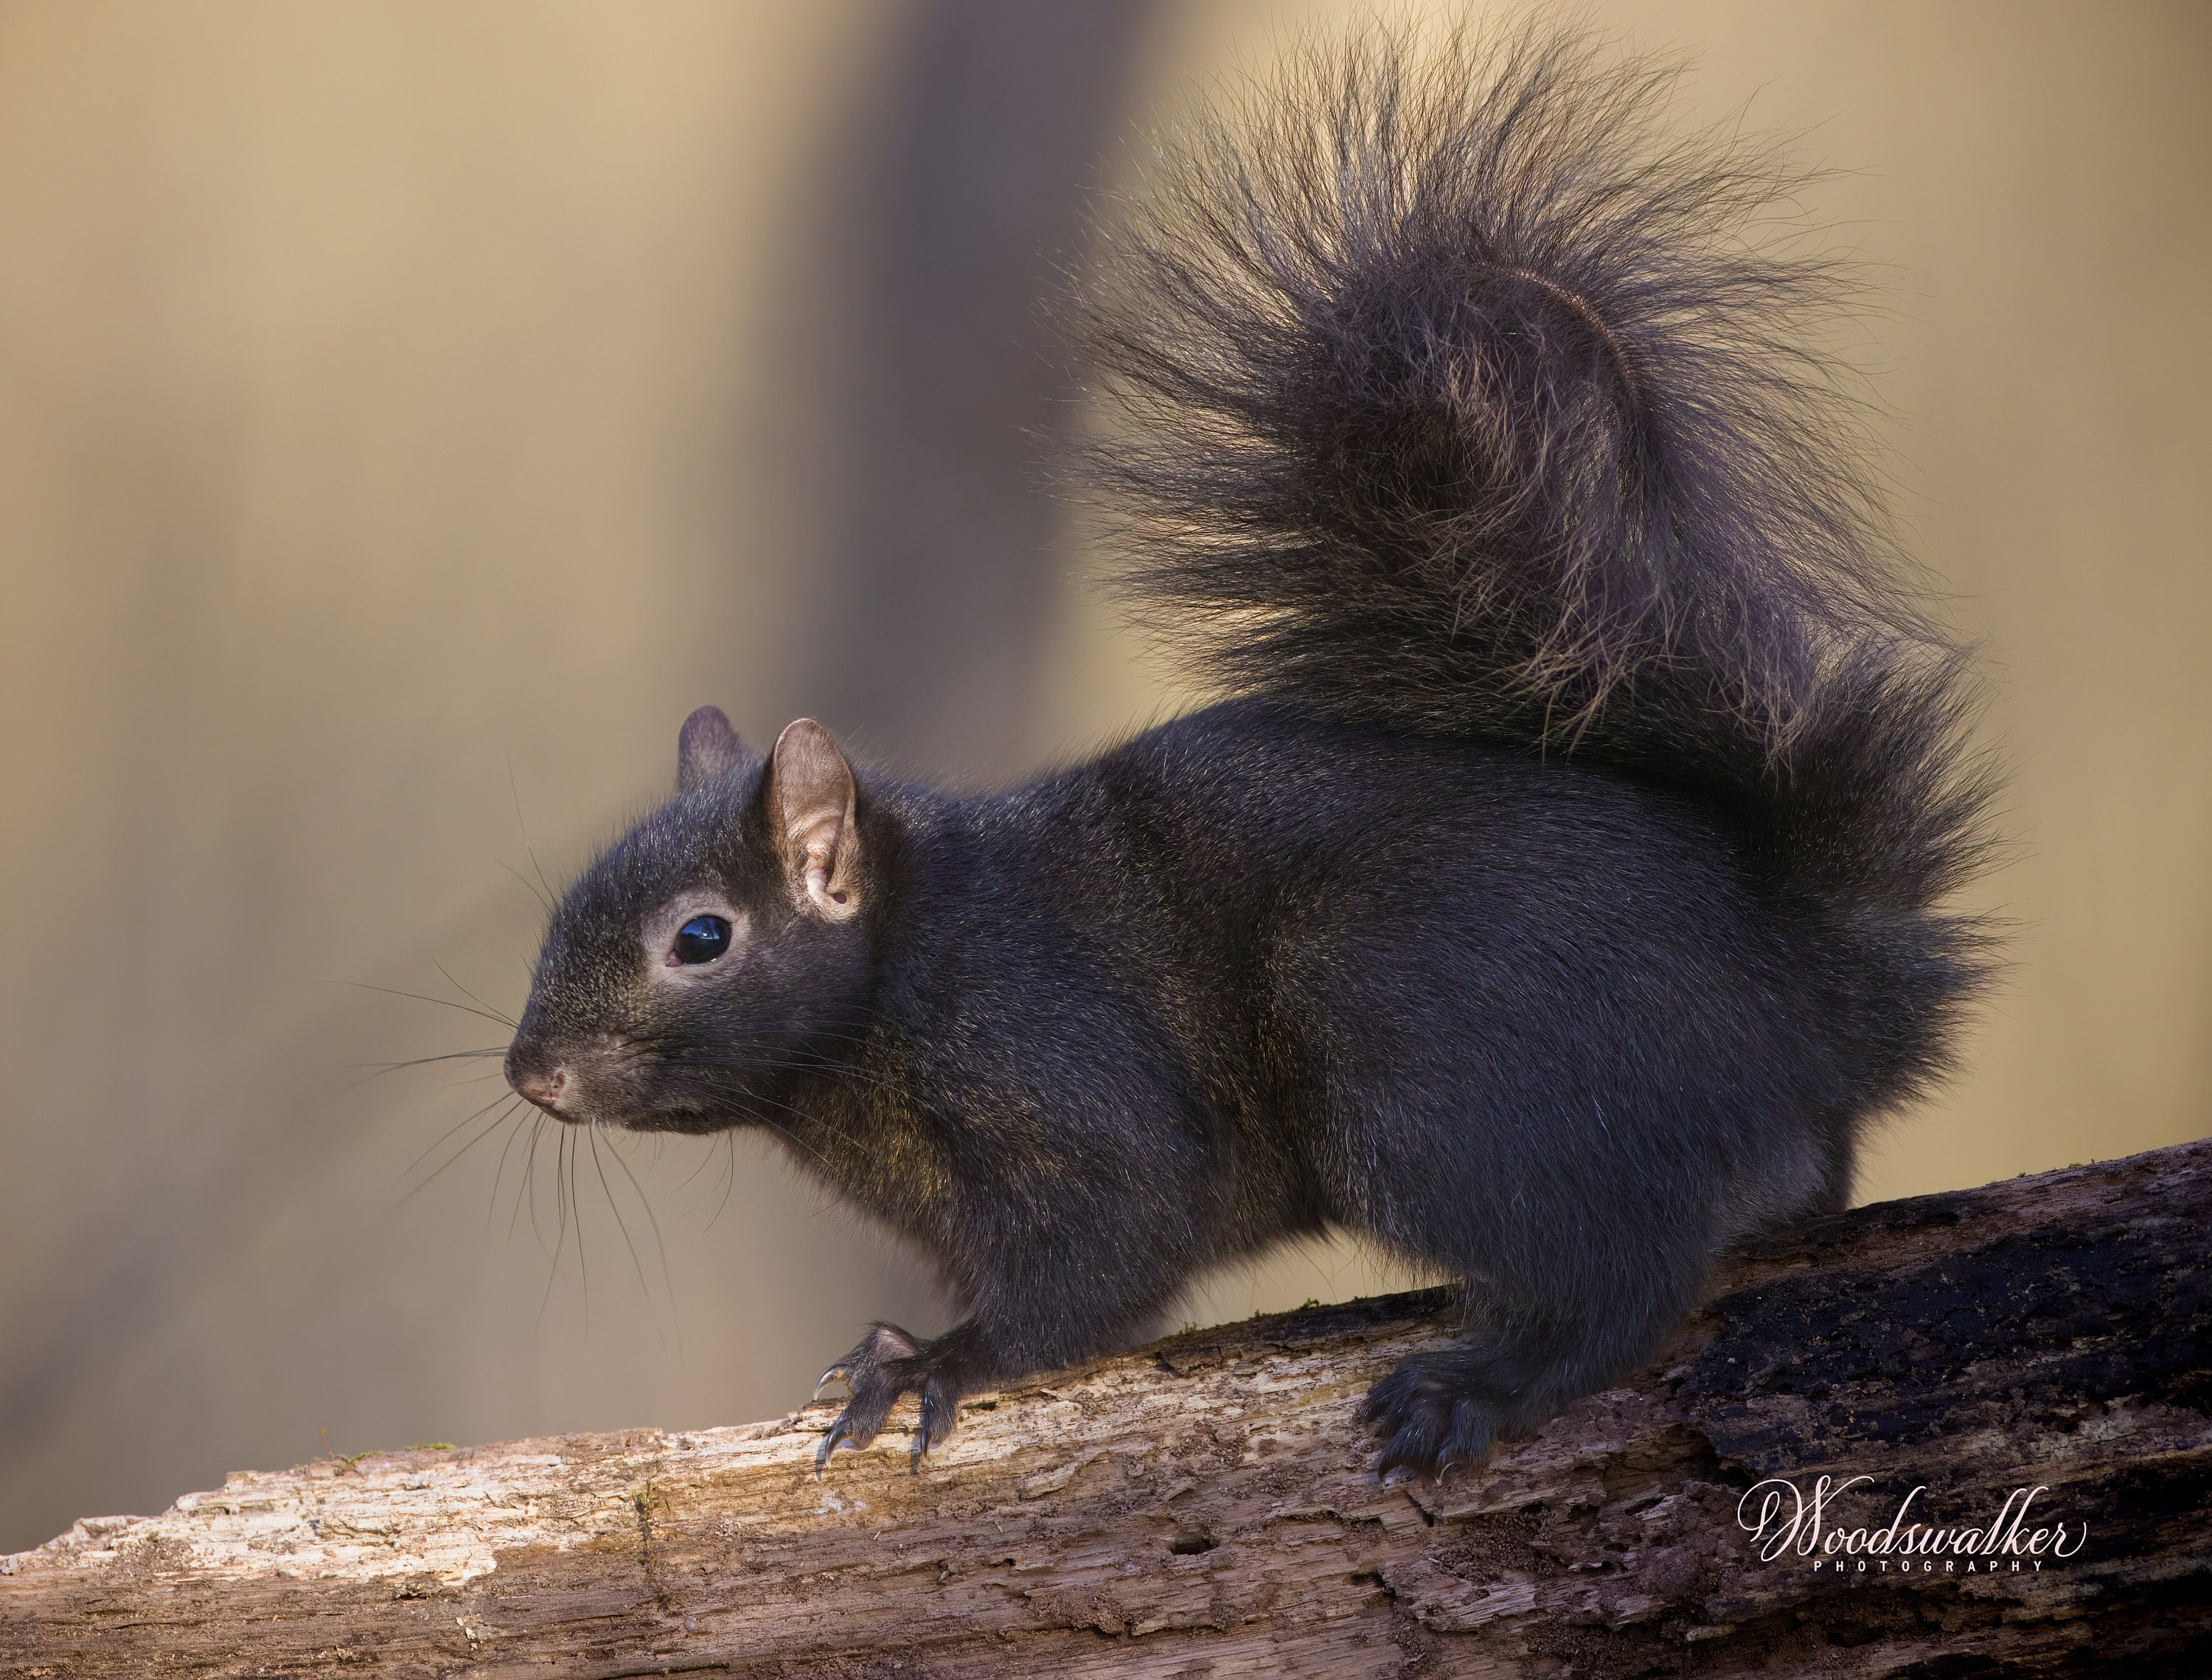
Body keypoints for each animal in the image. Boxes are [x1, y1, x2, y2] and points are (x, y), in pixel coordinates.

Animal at [501, 24, 1993, 1480]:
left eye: (701, 936)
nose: (532, 1073)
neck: (908, 968)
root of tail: (1816, 979)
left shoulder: (1069, 1078)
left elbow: (1106, 1256)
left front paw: (930, 1359)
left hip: (1413, 1037)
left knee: (1627, 1272)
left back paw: (1473, 1386)